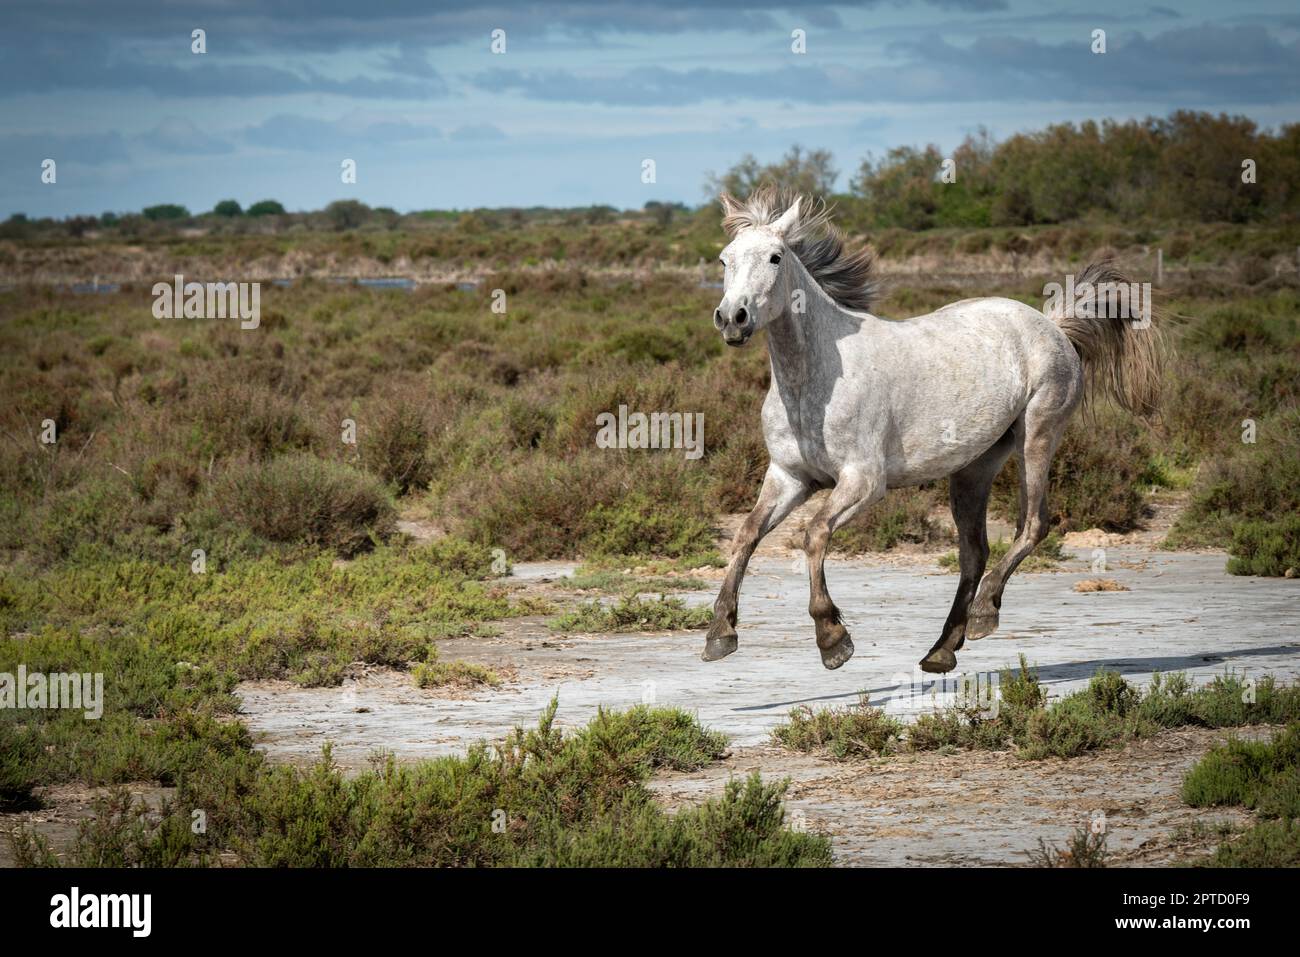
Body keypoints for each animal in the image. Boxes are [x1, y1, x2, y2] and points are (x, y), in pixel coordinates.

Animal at [702, 186, 1163, 674]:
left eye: (775, 257)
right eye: (724, 259)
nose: (733, 318)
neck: (814, 380)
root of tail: (1052, 326)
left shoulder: (864, 481)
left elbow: (815, 534)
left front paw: (833, 639)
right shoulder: (790, 477)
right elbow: (746, 534)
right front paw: (720, 634)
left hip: (1038, 436)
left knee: (1033, 525)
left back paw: (983, 614)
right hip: (974, 468)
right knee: (974, 551)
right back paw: (942, 649)